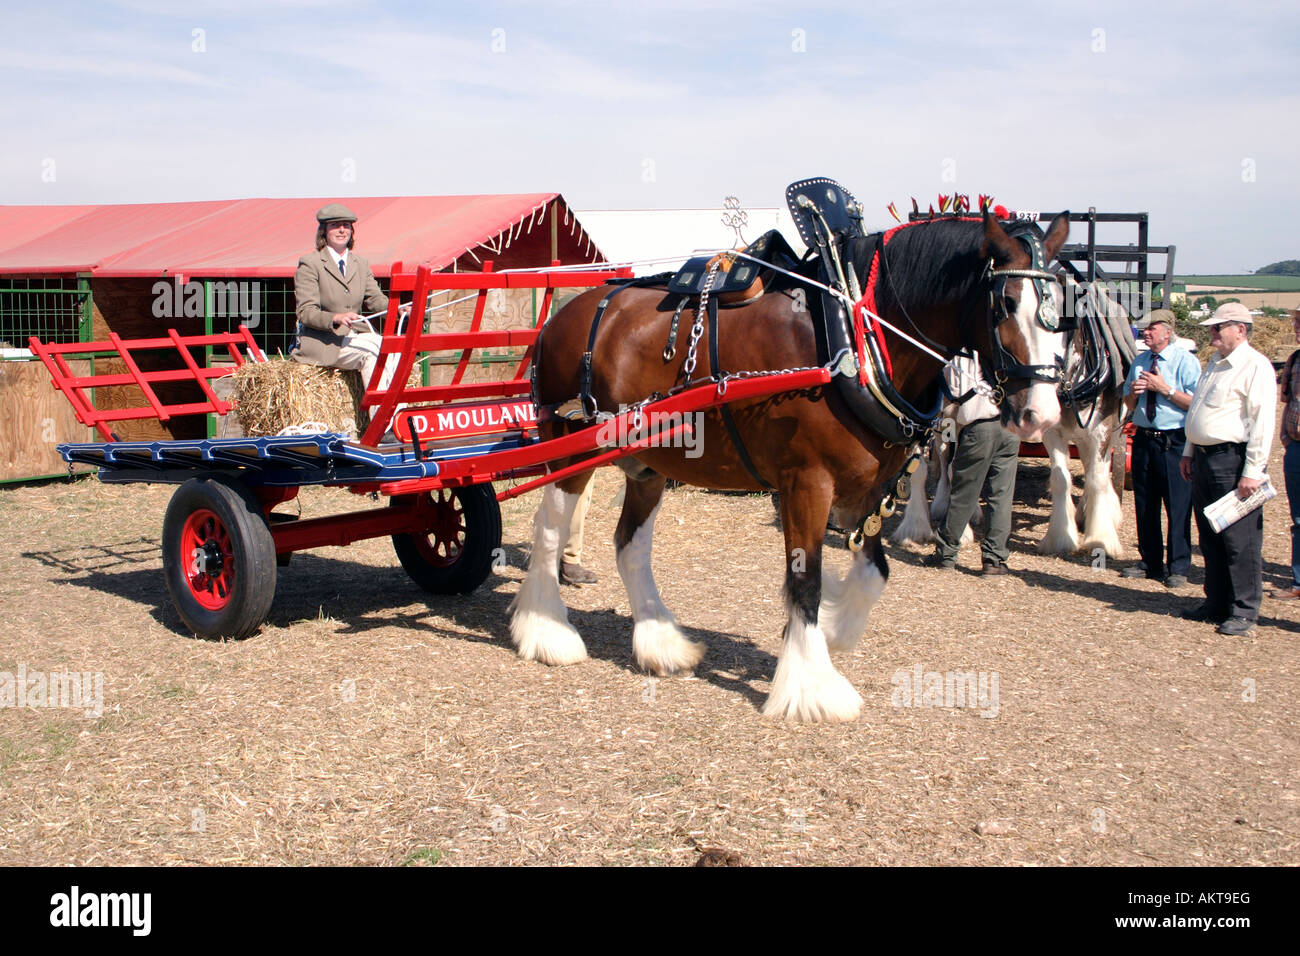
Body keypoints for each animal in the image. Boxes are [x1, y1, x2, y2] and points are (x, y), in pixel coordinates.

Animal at [510, 208, 1071, 723]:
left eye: (1063, 308)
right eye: (1006, 303)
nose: (1041, 414)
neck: (853, 338)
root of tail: (563, 316)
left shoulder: (871, 489)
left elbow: (875, 572)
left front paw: (834, 631)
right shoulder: (806, 483)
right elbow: (805, 581)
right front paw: (812, 687)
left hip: (648, 465)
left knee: (630, 545)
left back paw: (661, 642)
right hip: (571, 450)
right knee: (549, 530)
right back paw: (546, 632)